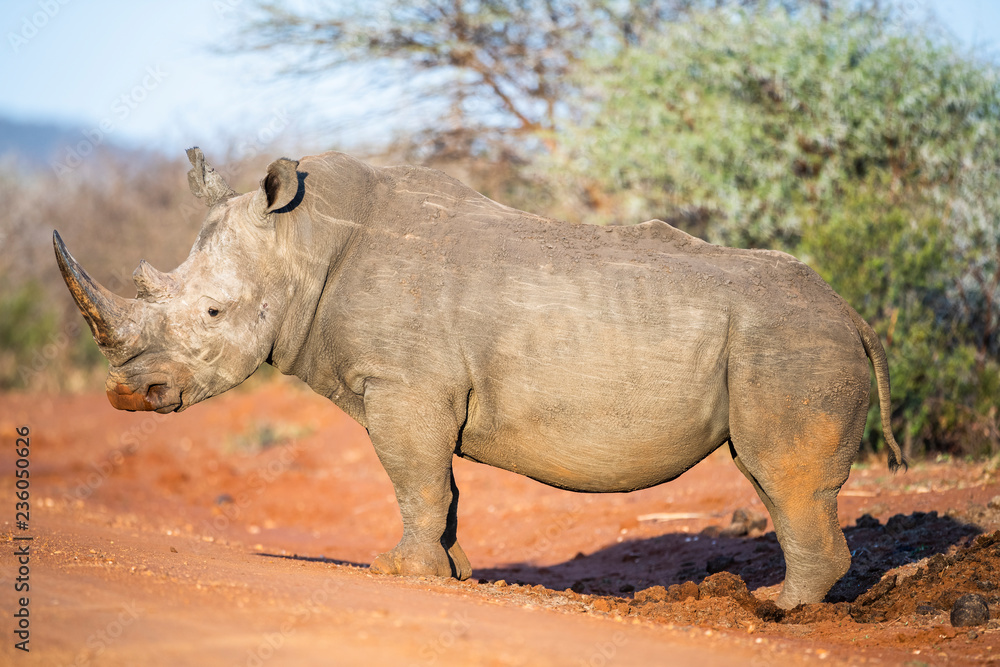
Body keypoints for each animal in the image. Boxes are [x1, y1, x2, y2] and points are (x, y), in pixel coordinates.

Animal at [54, 148, 904, 609]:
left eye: (213, 312)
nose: (127, 395)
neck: (303, 243)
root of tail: (853, 311)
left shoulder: (403, 384)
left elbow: (414, 479)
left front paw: (399, 571)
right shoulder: (418, 389)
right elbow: (442, 487)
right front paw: (455, 573)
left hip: (790, 339)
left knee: (779, 472)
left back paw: (774, 609)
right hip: (790, 338)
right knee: (772, 474)